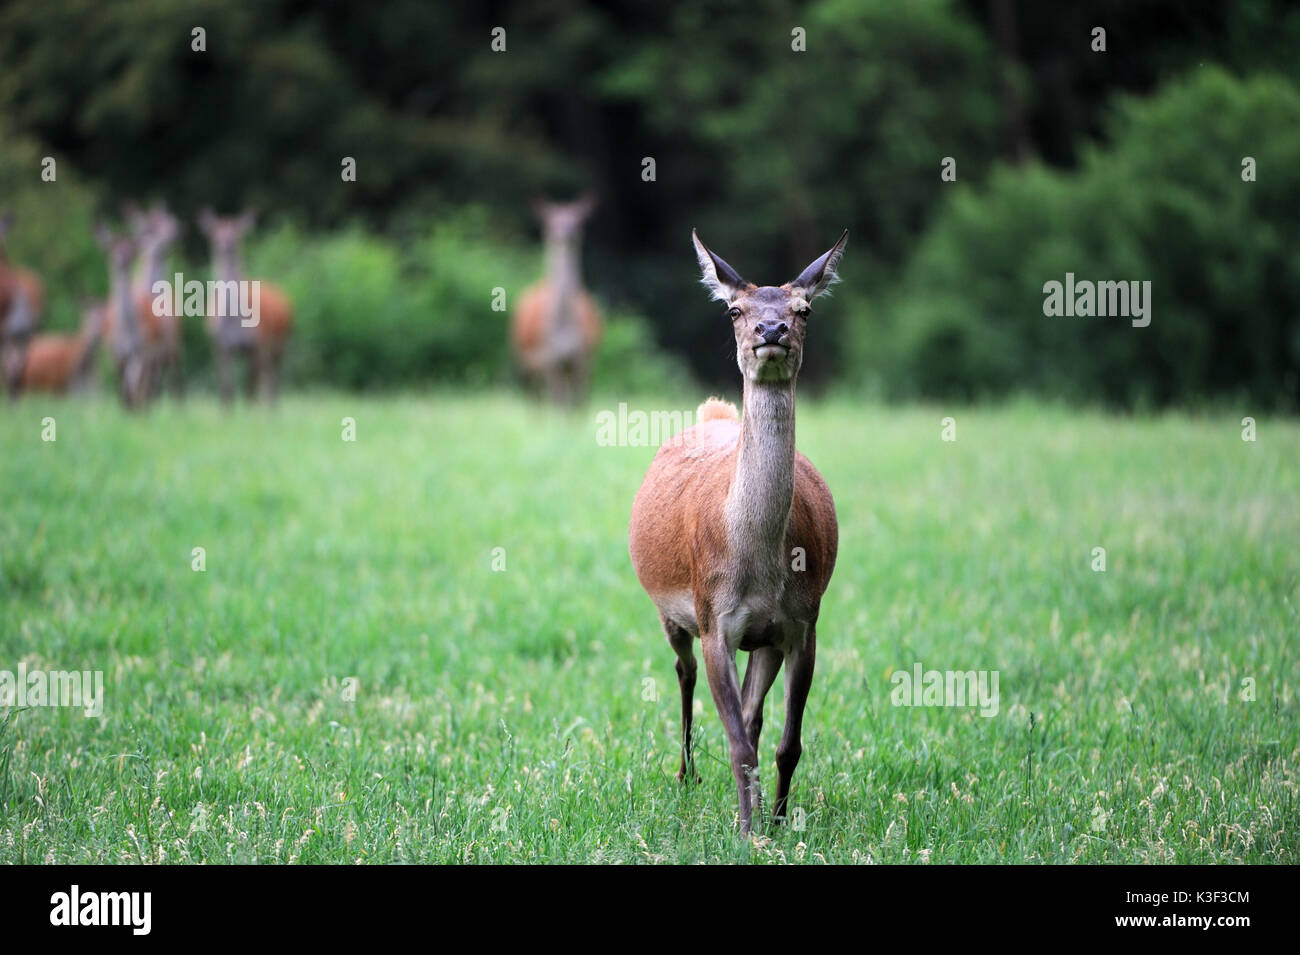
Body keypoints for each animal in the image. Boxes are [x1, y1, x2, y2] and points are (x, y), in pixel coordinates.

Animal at [197, 208, 294, 404]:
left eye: (237, 235)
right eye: (215, 235)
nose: (225, 244)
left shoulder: (257, 344)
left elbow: (250, 393)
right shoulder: (220, 346)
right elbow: (226, 391)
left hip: (280, 343)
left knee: (273, 381)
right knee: (268, 378)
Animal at [511, 194, 602, 406]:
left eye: (577, 220)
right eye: (551, 221)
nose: (565, 232)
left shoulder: (581, 358)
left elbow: (578, 403)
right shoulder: (549, 359)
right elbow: (558, 402)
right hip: (525, 361)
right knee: (535, 399)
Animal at [628, 229, 847, 835]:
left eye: (804, 308)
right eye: (734, 309)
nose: (770, 331)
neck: (762, 564)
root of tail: (713, 415)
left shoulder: (800, 623)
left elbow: (783, 742)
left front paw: (773, 821)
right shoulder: (714, 620)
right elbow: (736, 740)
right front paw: (749, 833)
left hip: (762, 640)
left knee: (752, 716)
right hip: (671, 611)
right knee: (682, 673)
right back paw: (686, 774)